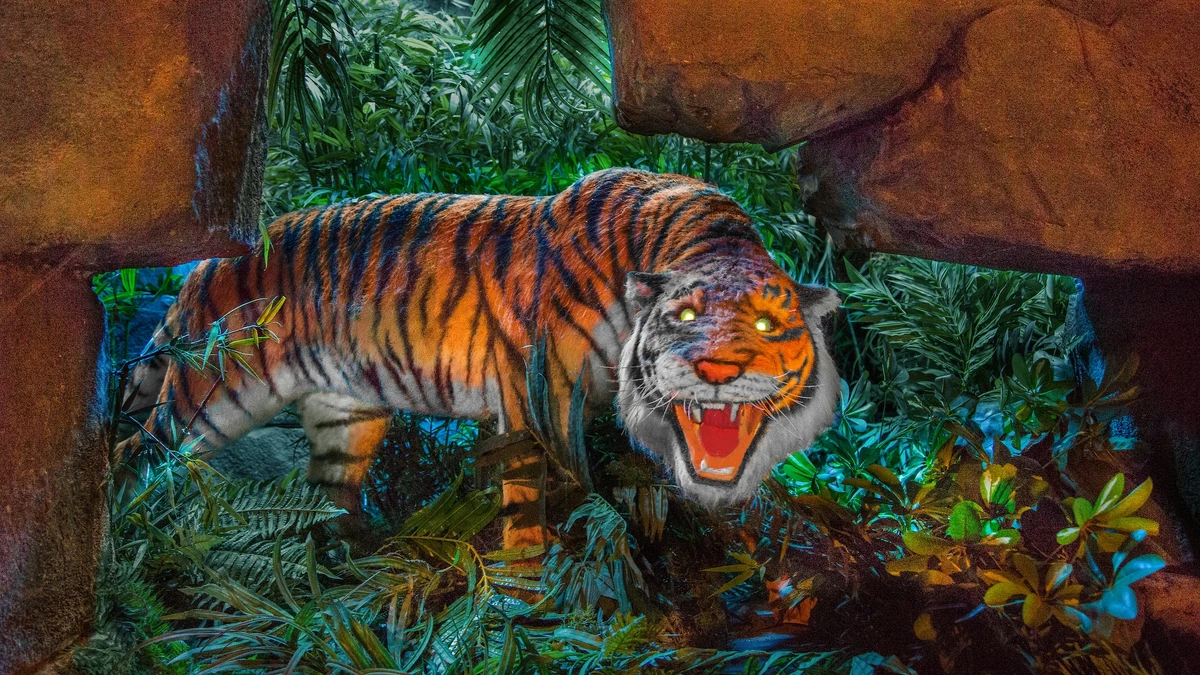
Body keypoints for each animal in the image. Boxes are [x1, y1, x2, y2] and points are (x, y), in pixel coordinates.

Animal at [119, 168, 841, 550]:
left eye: (773, 332)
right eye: (694, 324)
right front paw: (539, 567)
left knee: (327, 493)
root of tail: (203, 266)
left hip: (346, 415)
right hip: (207, 398)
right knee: (142, 455)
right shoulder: (539, 390)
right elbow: (540, 482)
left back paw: (356, 559)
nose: (723, 378)